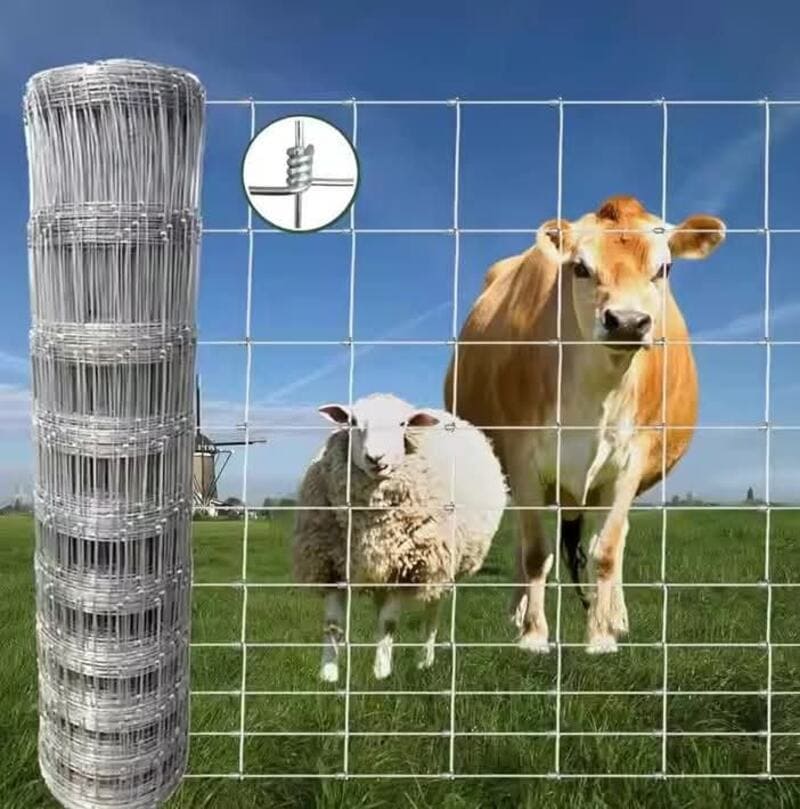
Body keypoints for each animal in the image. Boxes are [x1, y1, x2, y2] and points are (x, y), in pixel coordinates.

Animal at [292, 393, 507, 682]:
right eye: (353, 422)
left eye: (403, 424)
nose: (376, 458)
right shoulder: (330, 565)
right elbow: (333, 624)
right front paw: (328, 675)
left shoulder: (405, 569)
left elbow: (388, 623)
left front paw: (381, 673)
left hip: (442, 569)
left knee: (432, 612)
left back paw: (425, 660)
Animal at [444, 195, 725, 653]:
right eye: (580, 267)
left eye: (664, 269)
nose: (627, 322)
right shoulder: (521, 456)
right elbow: (534, 551)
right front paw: (533, 634)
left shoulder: (631, 461)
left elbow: (607, 550)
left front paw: (601, 635)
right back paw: (518, 611)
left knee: (611, 539)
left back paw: (614, 614)